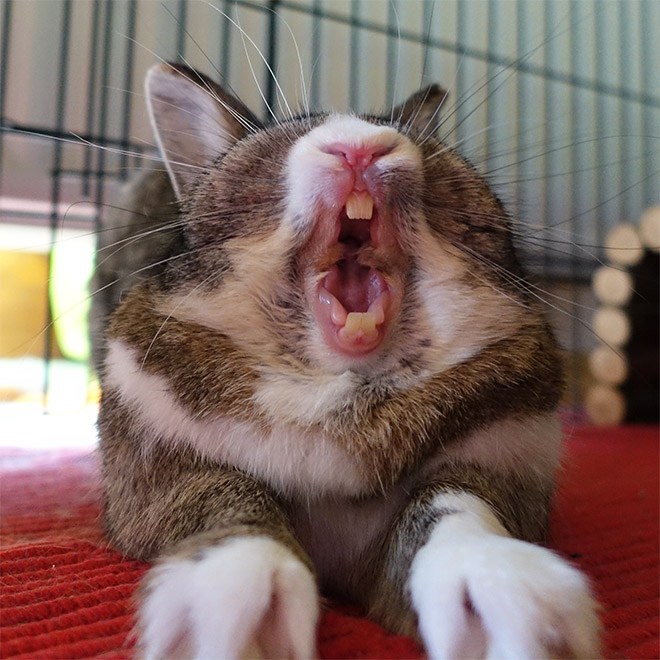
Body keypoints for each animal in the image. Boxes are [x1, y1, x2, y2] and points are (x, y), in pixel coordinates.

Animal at [96, 62, 601, 659]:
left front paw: (506, 593)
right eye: (271, 150)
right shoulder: (162, 478)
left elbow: (454, 505)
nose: (361, 146)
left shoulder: (498, 468)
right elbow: (224, 498)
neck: (345, 391)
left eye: (432, 153)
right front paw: (236, 605)